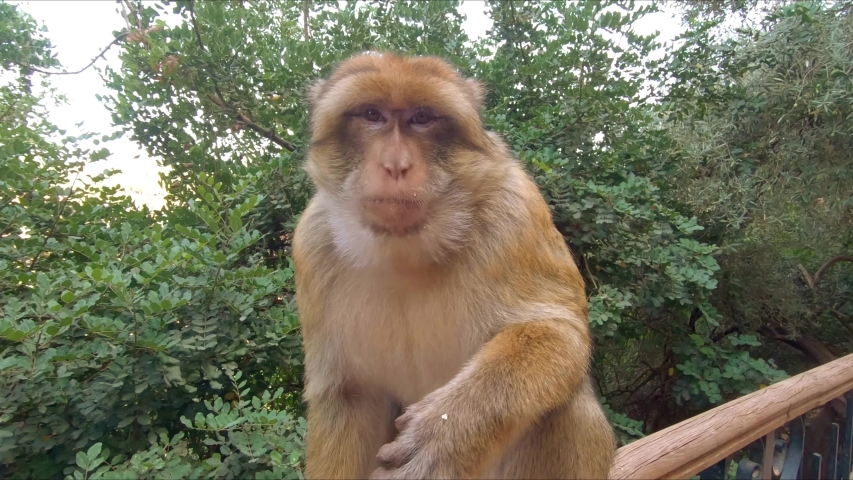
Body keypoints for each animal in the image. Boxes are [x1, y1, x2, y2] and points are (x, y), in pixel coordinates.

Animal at [292, 51, 617, 479]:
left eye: (422, 118)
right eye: (372, 114)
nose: (396, 165)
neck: (405, 254)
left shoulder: (517, 210)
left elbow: (559, 333)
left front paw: (446, 433)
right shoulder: (311, 247)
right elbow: (346, 395)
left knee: (567, 409)